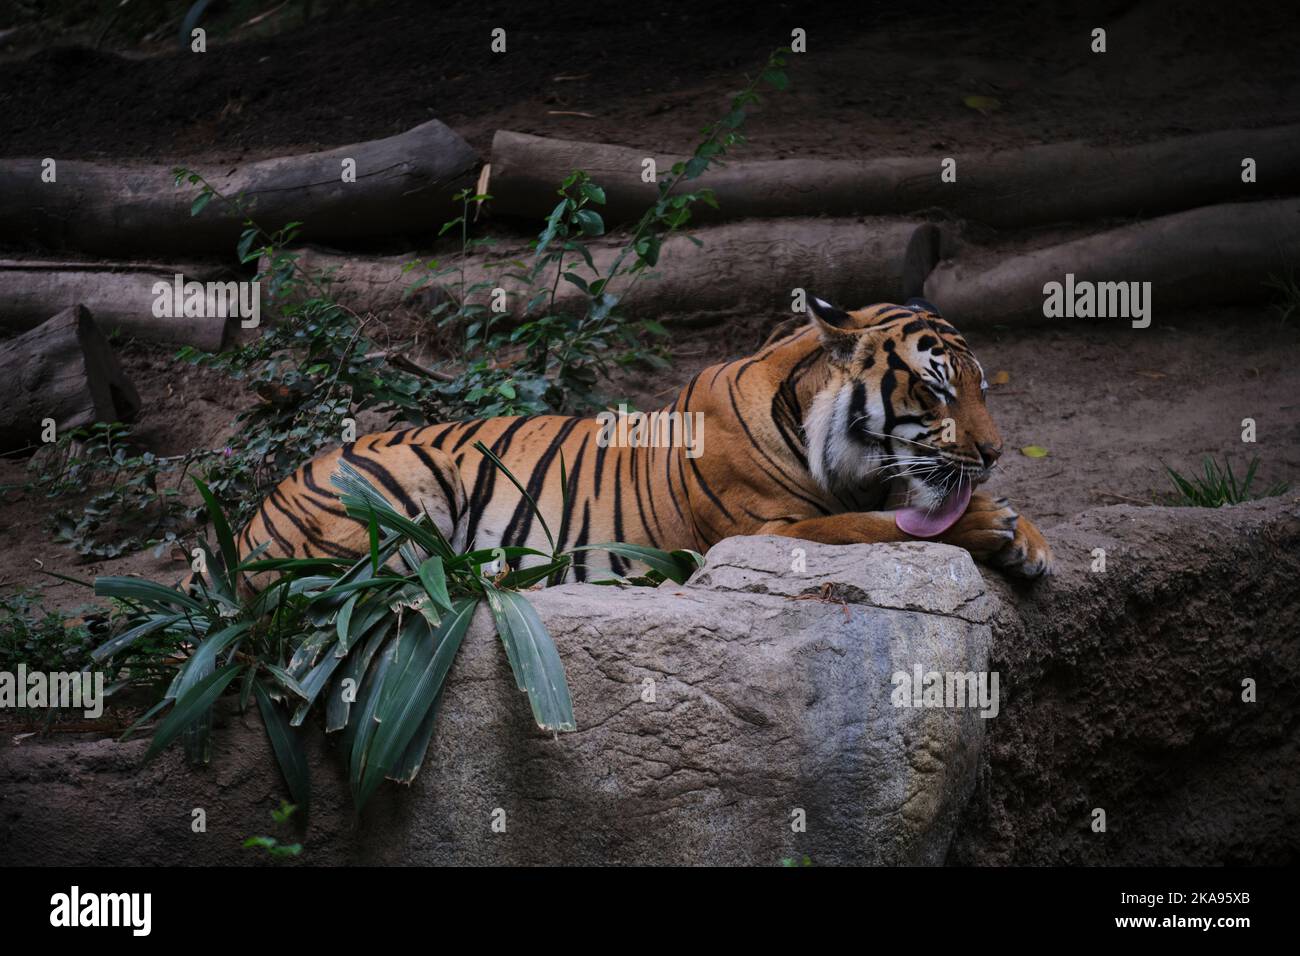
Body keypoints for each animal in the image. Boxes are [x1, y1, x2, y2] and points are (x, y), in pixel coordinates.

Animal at [234, 297, 1052, 585]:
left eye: (981, 386)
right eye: (938, 389)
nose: (994, 454)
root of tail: (246, 519)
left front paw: (1032, 541)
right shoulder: (765, 530)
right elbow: (875, 525)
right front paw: (993, 523)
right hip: (404, 485)